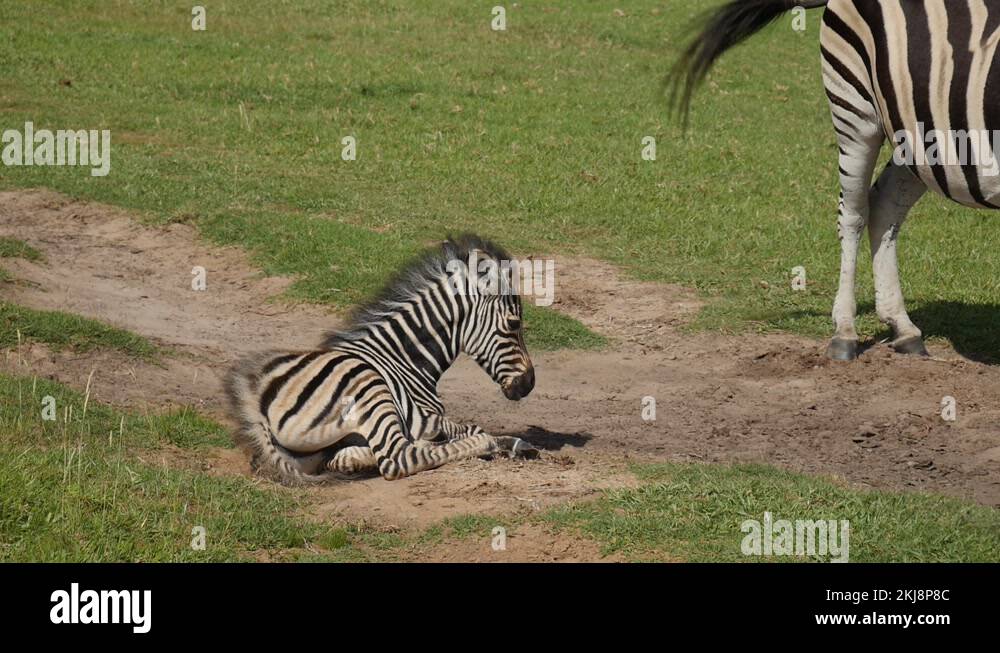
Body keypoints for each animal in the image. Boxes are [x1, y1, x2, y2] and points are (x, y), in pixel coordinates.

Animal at [226, 235, 538, 483]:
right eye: (513, 324)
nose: (529, 384)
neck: (405, 359)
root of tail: (258, 407)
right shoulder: (422, 416)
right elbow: (466, 427)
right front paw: (506, 442)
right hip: (370, 387)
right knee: (400, 458)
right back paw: (490, 443)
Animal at [670, 0, 1000, 360]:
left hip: (918, 132)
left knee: (885, 204)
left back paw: (902, 328)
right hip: (856, 110)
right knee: (854, 214)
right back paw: (845, 332)